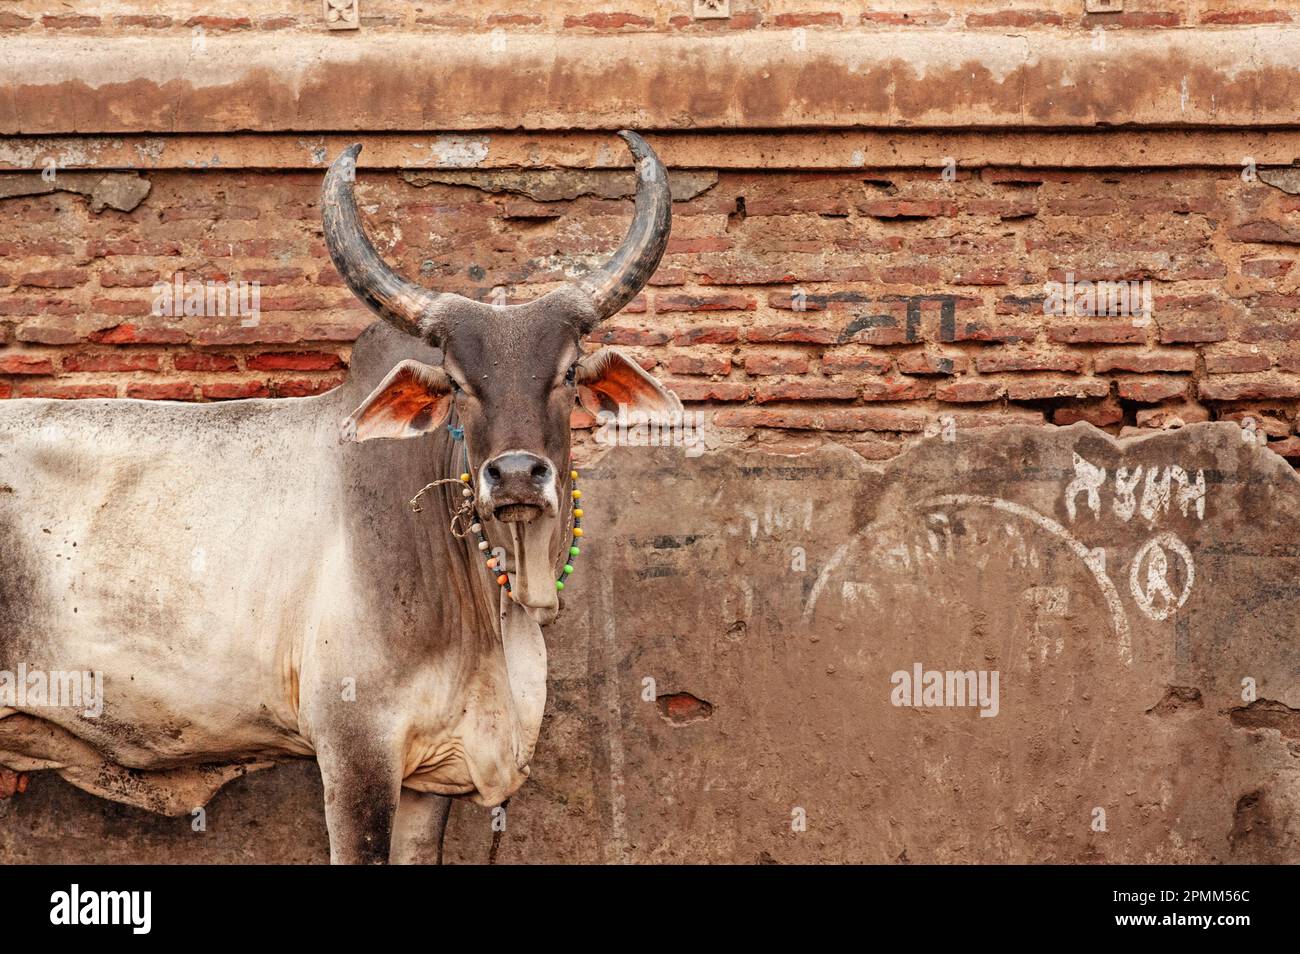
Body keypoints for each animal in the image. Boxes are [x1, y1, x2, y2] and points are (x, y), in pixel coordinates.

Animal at [0, 131, 680, 864]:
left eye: (567, 374)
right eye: (457, 383)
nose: (519, 475)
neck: (493, 606)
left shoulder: (427, 780)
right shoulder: (356, 750)